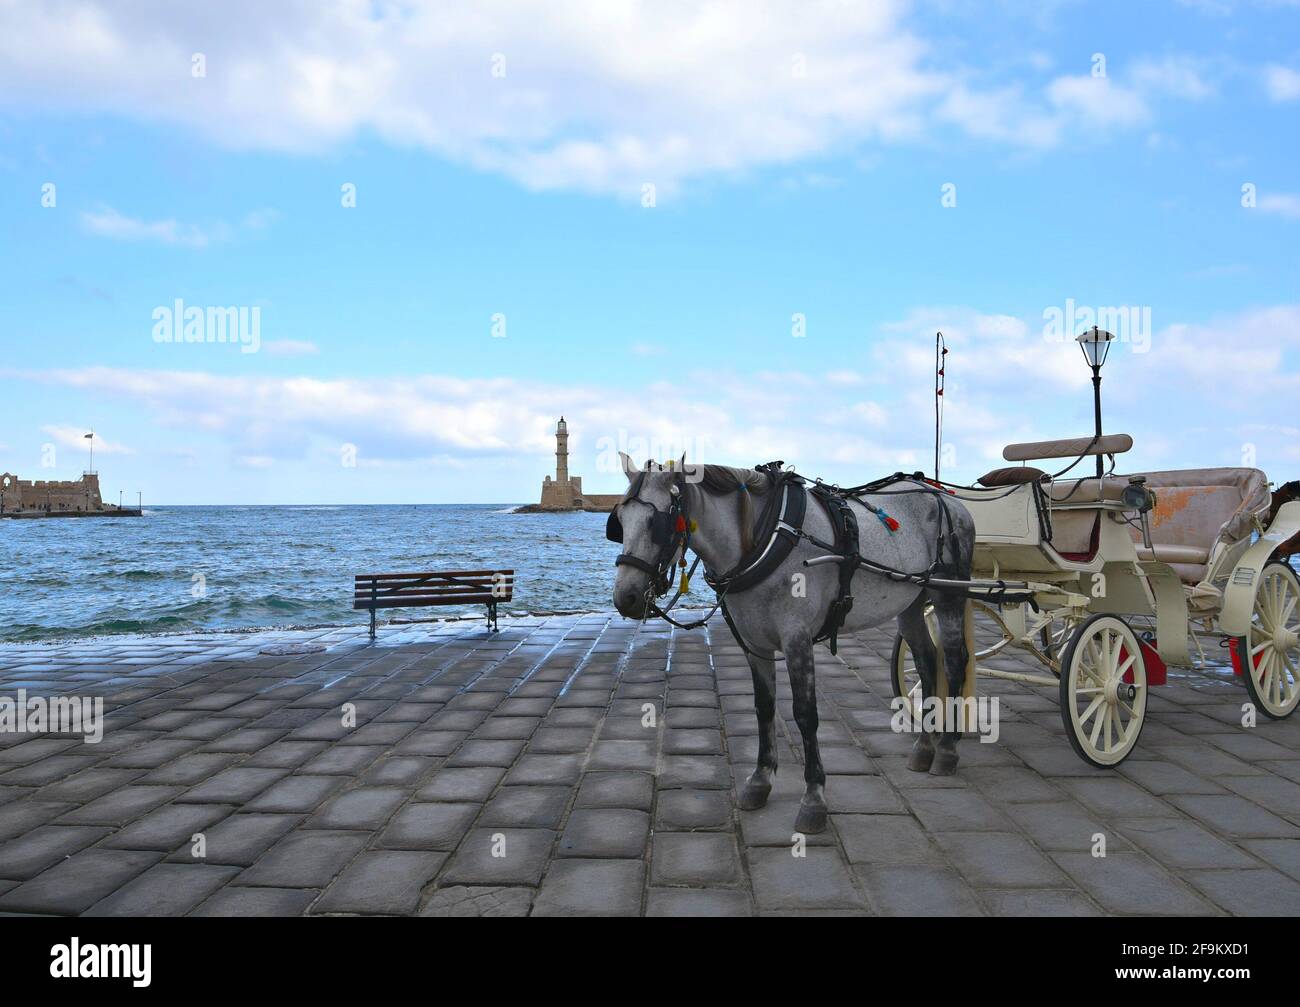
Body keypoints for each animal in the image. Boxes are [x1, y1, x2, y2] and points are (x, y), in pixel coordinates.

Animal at [607, 453, 976, 834]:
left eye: (656, 522)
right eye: (619, 521)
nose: (626, 597)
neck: (764, 537)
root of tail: (943, 495)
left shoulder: (796, 638)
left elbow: (805, 714)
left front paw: (814, 798)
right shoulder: (753, 643)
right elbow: (764, 708)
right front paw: (759, 781)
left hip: (948, 595)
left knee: (953, 660)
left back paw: (947, 749)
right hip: (911, 603)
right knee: (926, 660)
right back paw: (924, 746)